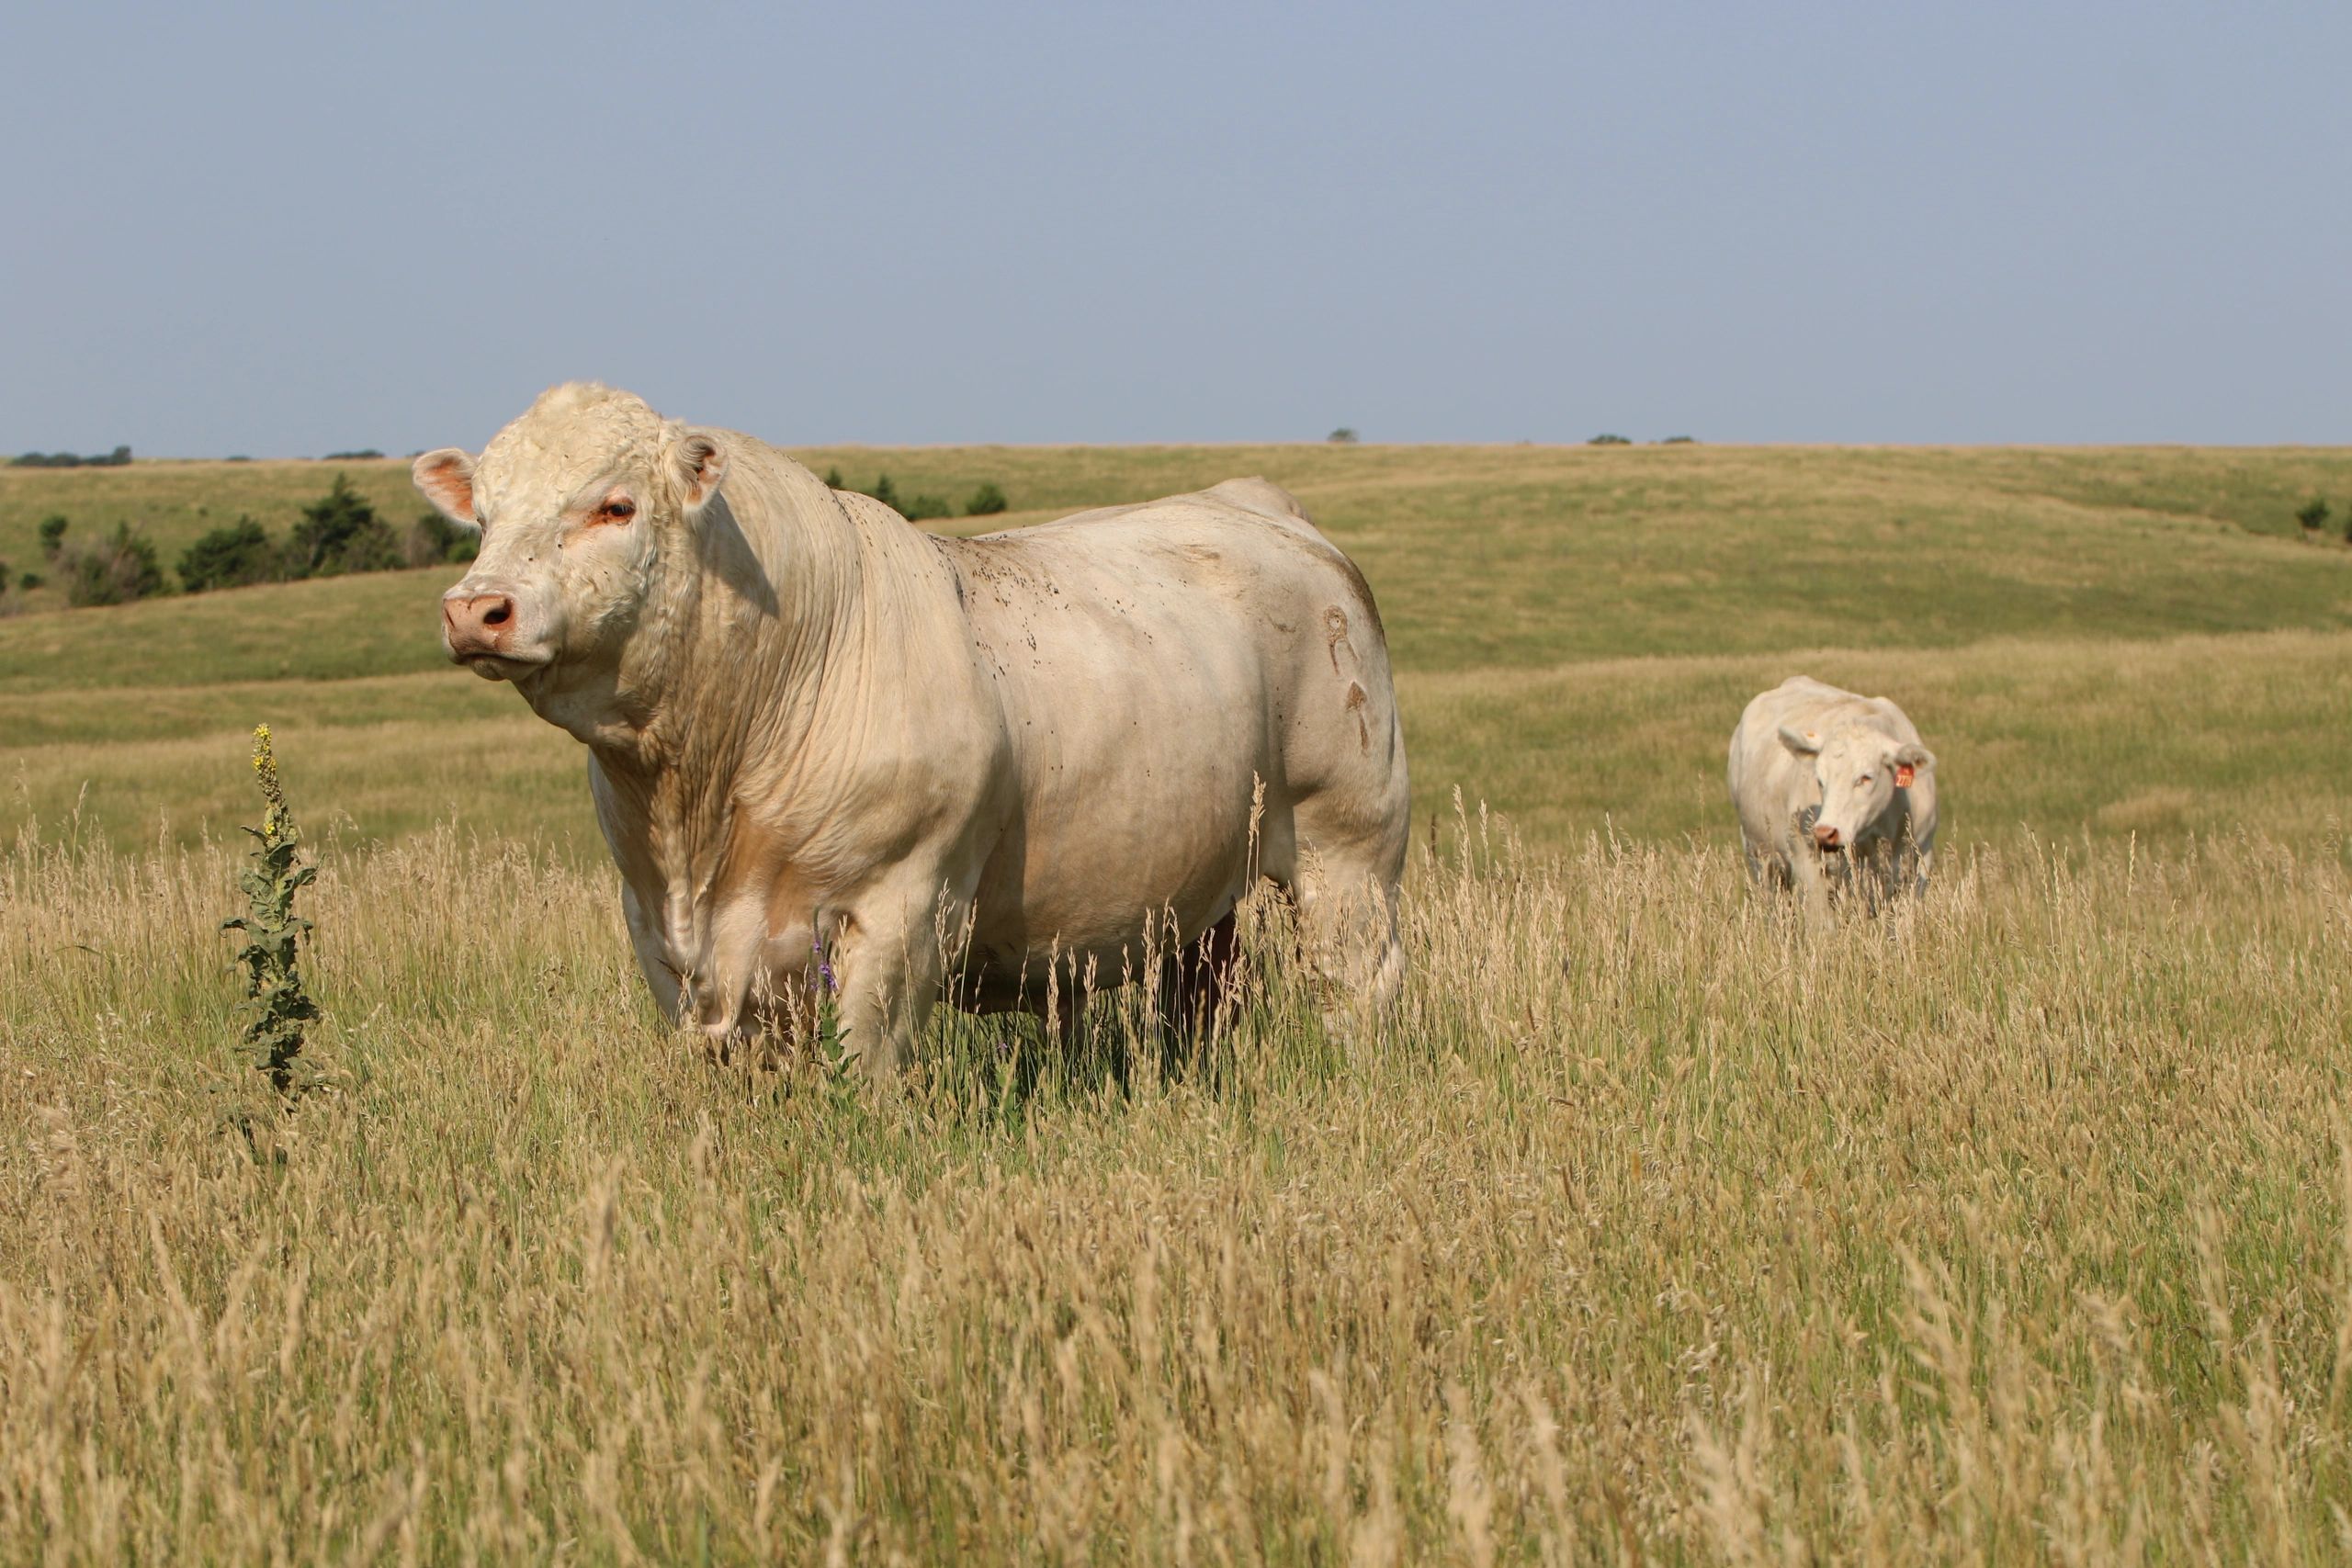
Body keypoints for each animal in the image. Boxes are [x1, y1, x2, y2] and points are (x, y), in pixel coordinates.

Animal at [415, 383, 1410, 1080]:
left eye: (614, 506)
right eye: (483, 517)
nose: (475, 609)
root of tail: (1252, 501)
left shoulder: (898, 903)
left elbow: (866, 1064)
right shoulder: (659, 924)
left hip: (1348, 846)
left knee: (1356, 983)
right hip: (1200, 884)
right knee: (1203, 994)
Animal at [1727, 676, 1938, 913]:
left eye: (1866, 777)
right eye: (1819, 779)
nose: (1825, 833)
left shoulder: (1919, 863)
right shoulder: (1810, 867)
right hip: (1761, 859)